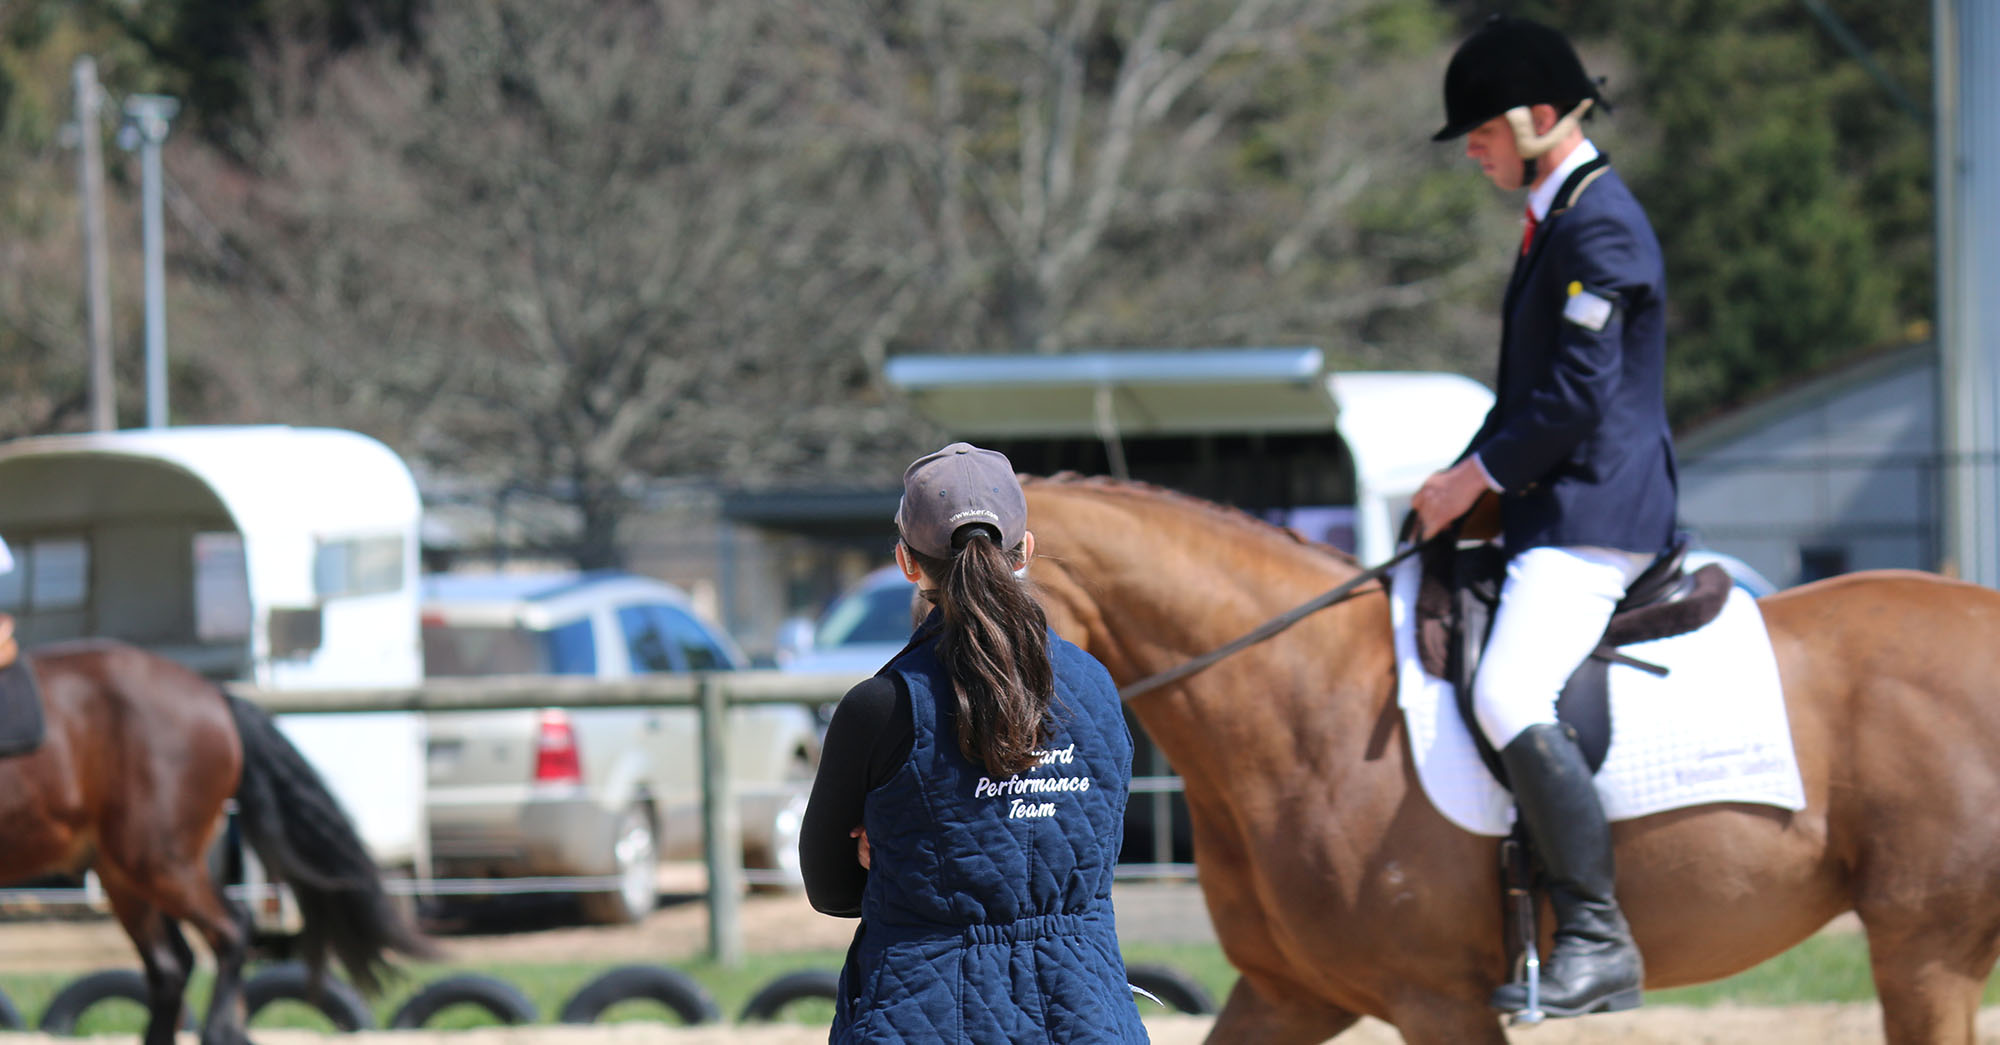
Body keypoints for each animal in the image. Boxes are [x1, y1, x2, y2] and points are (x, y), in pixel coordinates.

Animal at [0, 638, 433, 1045]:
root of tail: (217, 697)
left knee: (230, 930)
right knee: (170, 966)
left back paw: (221, 1030)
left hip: (157, 860)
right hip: (125, 873)